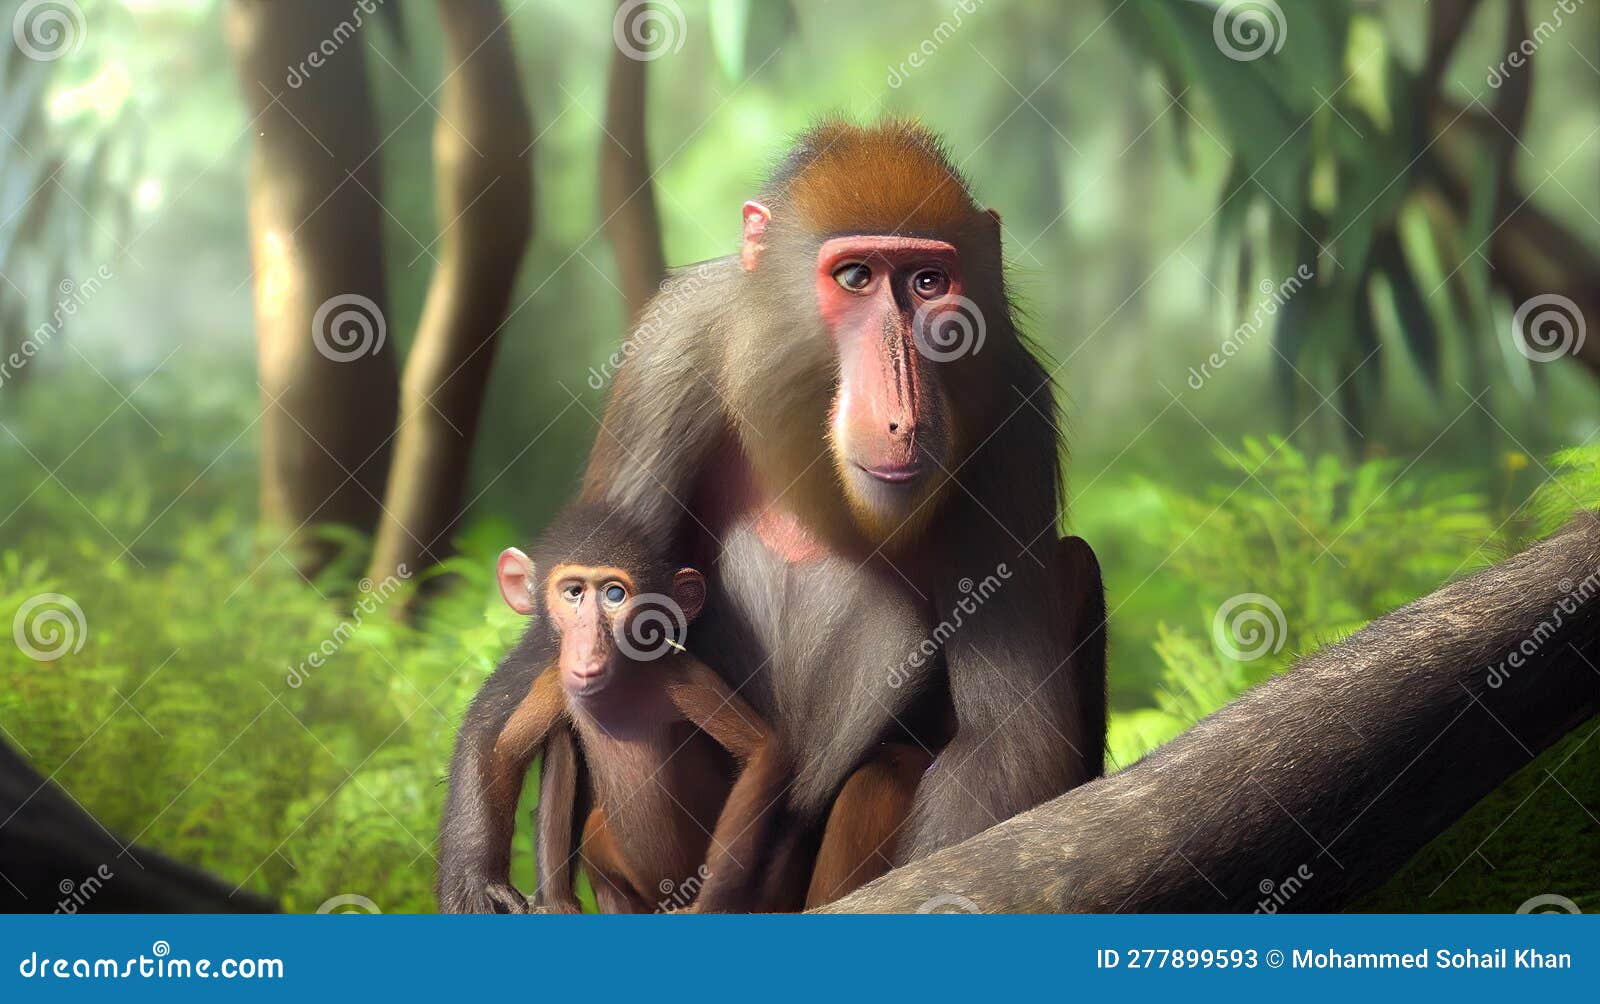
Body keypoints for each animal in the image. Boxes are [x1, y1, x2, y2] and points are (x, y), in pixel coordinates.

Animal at [436, 504, 789, 914]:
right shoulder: (553, 680)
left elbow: (761, 752)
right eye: (573, 593)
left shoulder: (682, 676)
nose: (587, 639)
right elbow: (499, 748)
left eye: (615, 594)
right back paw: (558, 902)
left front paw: (719, 899)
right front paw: (478, 881)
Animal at [577, 119, 1108, 906]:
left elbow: (1006, 741)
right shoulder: (675, 346)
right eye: (855, 277)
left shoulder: (1013, 410)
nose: (901, 412)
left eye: (928, 283)